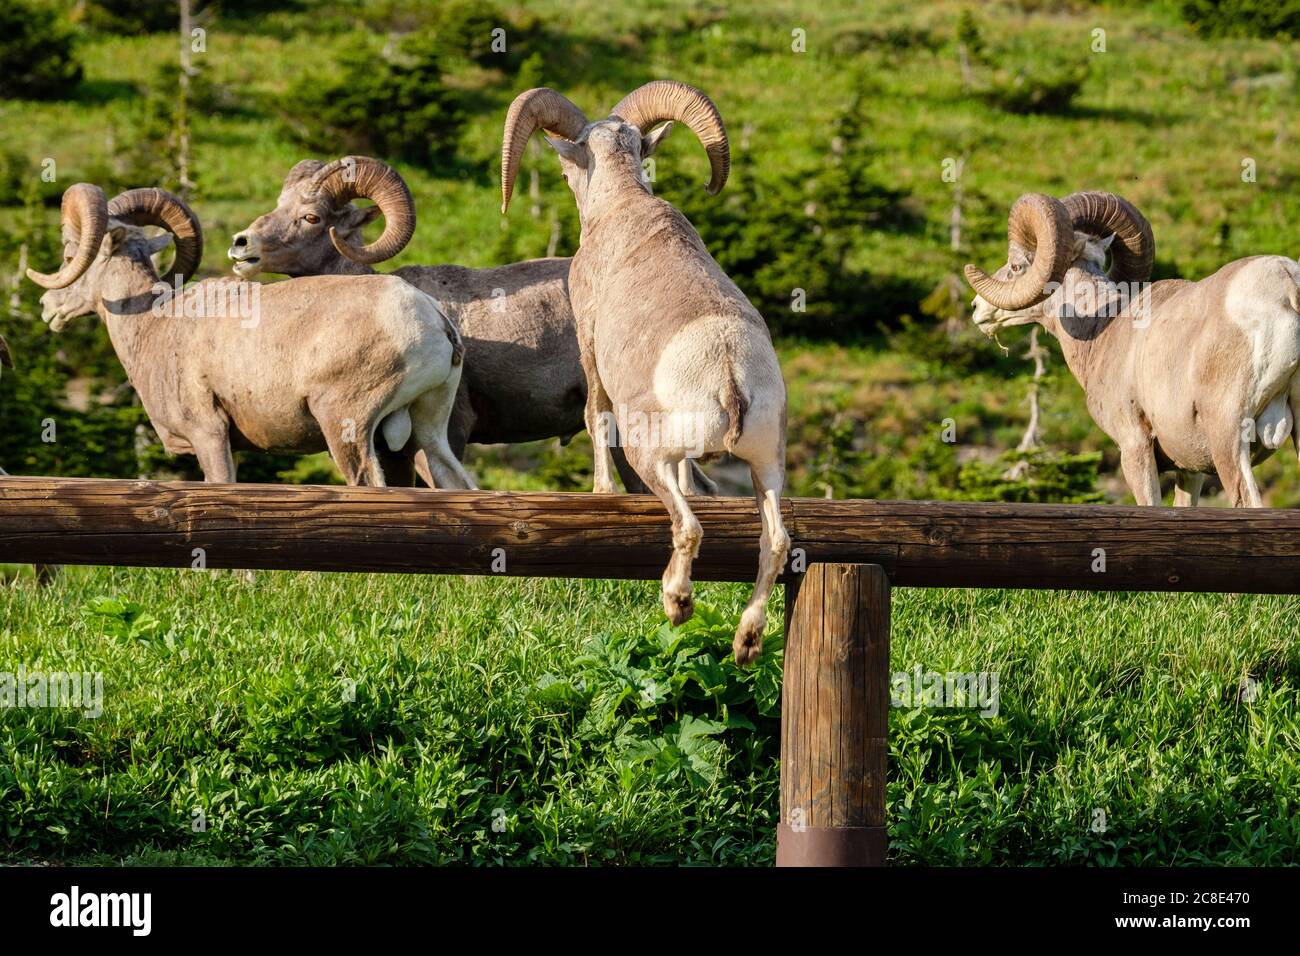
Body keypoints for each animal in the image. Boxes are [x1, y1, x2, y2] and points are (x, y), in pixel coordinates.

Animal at [28, 182, 475, 490]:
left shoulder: (208, 434)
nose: (48, 306)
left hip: (347, 425)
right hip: (427, 428)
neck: (156, 324)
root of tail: (432, 320)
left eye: (69, 254)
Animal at [500, 81, 790, 665]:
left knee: (689, 524)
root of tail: (729, 375)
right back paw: (746, 642)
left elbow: (595, 416)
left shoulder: (589, 346)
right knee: (775, 542)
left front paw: (601, 493)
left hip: (651, 451)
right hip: (765, 466)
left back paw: (677, 604)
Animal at [965, 190, 1300, 507]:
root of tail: (1287, 282)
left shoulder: (1134, 447)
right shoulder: (1190, 470)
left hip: (1228, 437)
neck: (1103, 328)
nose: (977, 309)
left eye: (1017, 265)